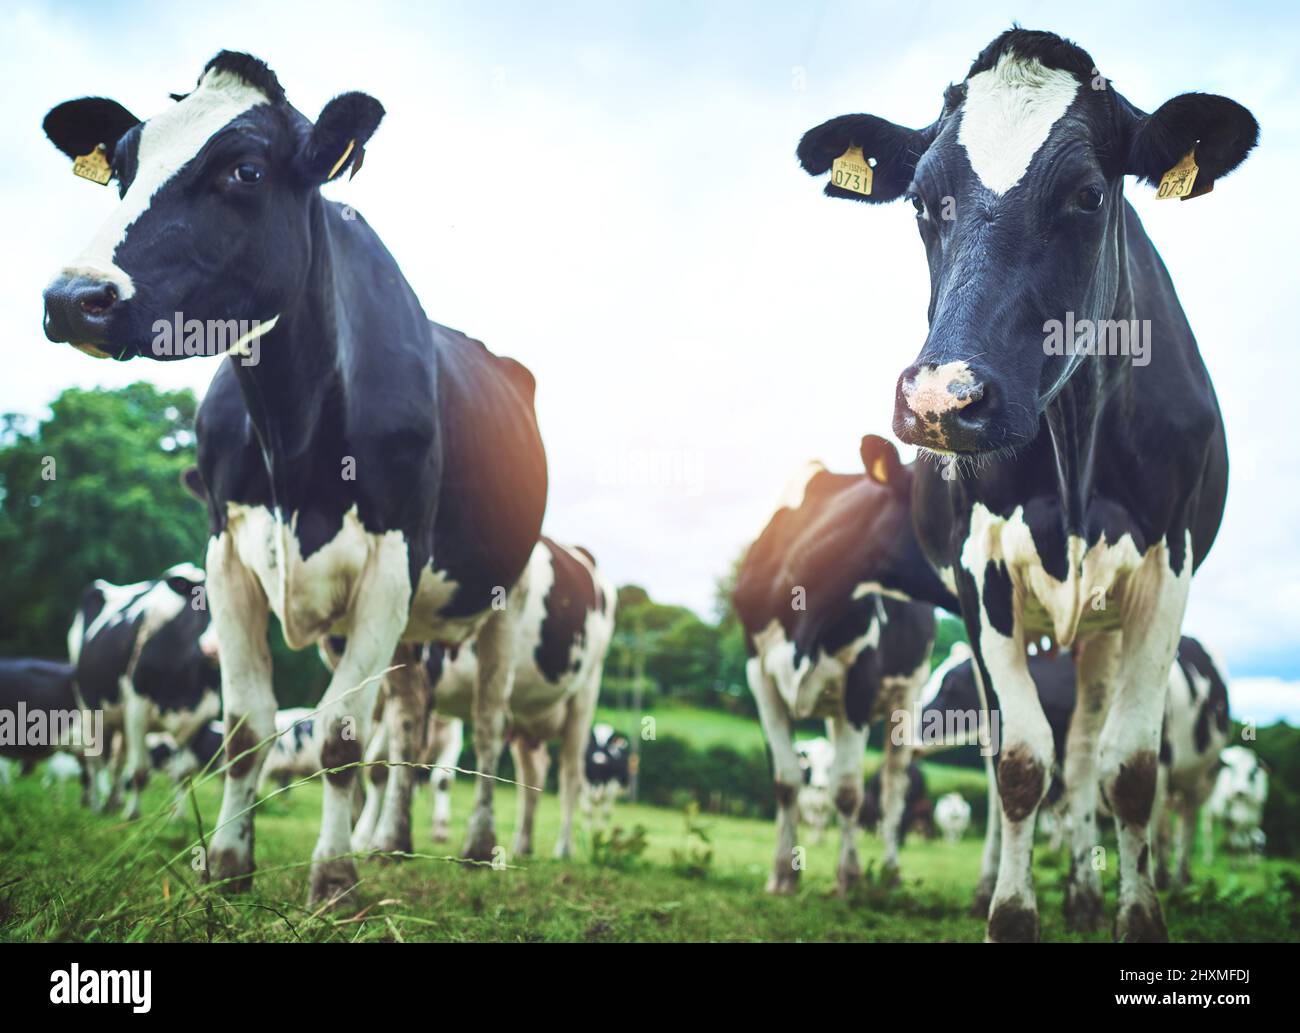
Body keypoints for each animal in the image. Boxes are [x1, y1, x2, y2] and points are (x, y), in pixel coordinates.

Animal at [66, 564, 220, 819]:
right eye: (202, 603)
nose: (214, 649)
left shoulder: (201, 718)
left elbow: (183, 773)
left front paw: (178, 817)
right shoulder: (137, 708)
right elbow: (140, 770)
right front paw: (132, 815)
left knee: (117, 762)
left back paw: (113, 802)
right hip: (88, 708)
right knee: (96, 761)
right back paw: (96, 805)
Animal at [351, 538, 616, 861]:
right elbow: (374, 760)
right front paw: (360, 835)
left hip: (584, 696)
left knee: (570, 778)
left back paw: (563, 849)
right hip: (526, 717)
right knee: (533, 775)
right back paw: (522, 845)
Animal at [733, 437, 957, 895]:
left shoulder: (862, 678)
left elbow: (849, 791)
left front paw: (848, 878)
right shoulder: (759, 674)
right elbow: (787, 780)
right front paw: (782, 875)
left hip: (907, 699)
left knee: (892, 790)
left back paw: (889, 873)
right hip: (833, 711)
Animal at [799, 27, 1255, 940]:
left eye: (1087, 194)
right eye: (921, 200)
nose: (942, 399)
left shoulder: (1169, 569)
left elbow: (1129, 770)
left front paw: (1134, 914)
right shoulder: (982, 575)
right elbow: (1016, 763)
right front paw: (1010, 911)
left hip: (1101, 628)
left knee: (1084, 756)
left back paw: (1083, 887)